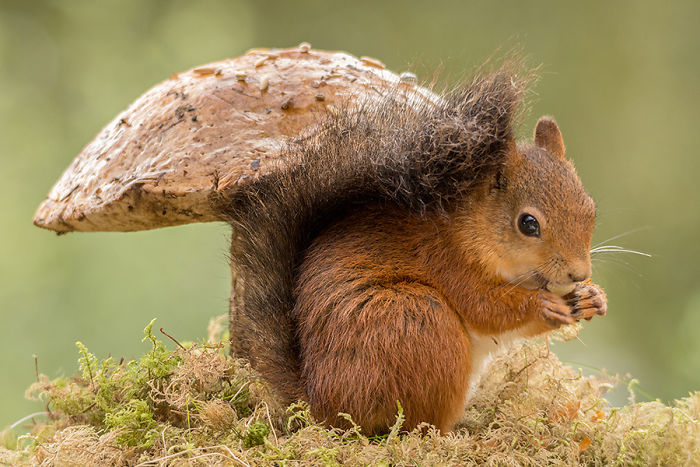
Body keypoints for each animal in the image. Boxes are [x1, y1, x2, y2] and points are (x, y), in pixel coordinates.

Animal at [219, 63, 608, 434]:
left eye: (590, 207)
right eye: (528, 224)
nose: (579, 273)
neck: (476, 227)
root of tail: (319, 403)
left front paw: (592, 298)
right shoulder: (447, 258)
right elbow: (485, 308)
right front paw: (542, 304)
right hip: (416, 320)